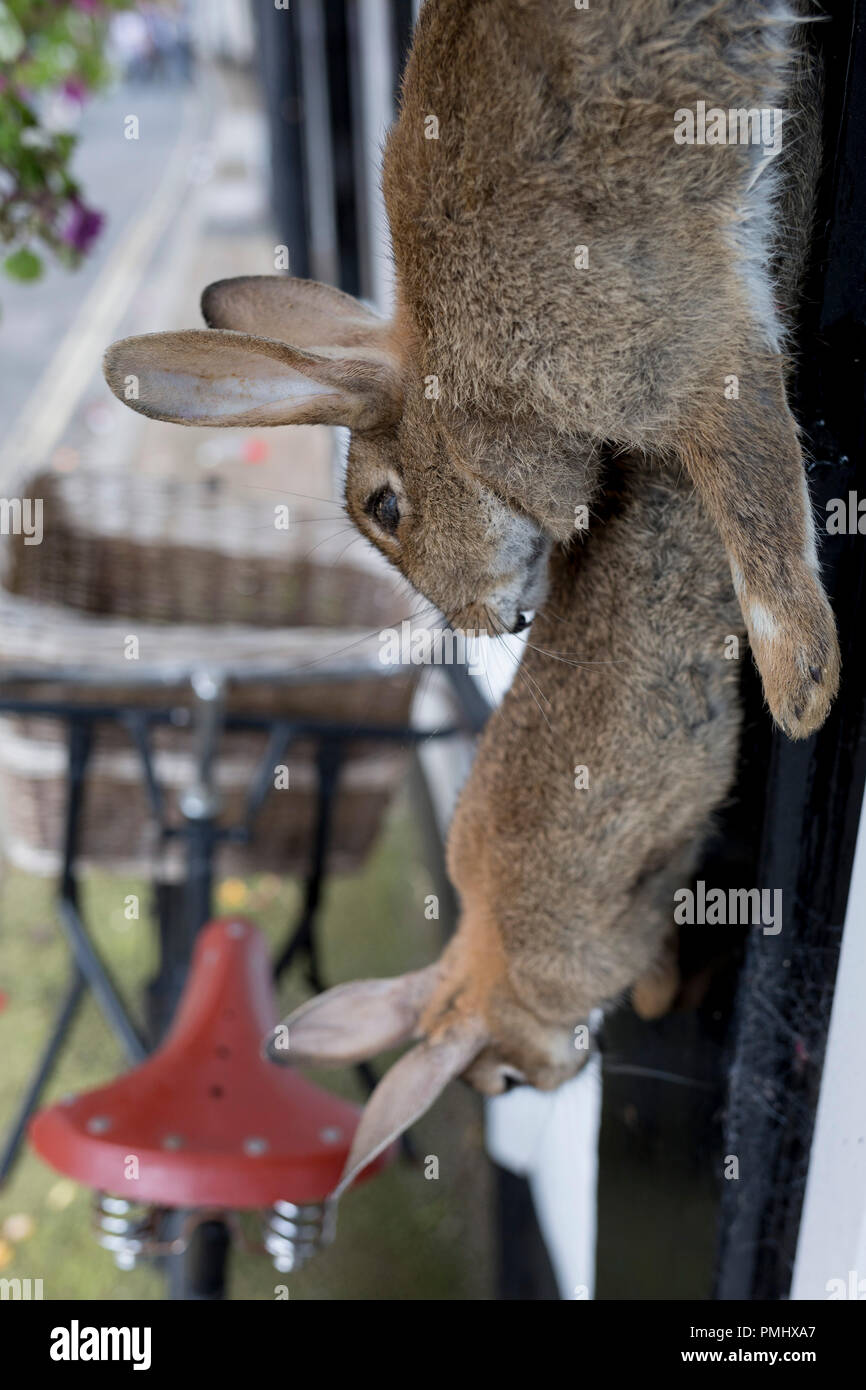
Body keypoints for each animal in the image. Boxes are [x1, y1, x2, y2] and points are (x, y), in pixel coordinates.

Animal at [104, 0, 838, 741]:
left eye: (385, 508)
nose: (483, 626)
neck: (452, 392)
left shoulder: (685, 354)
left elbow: (757, 510)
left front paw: (803, 687)